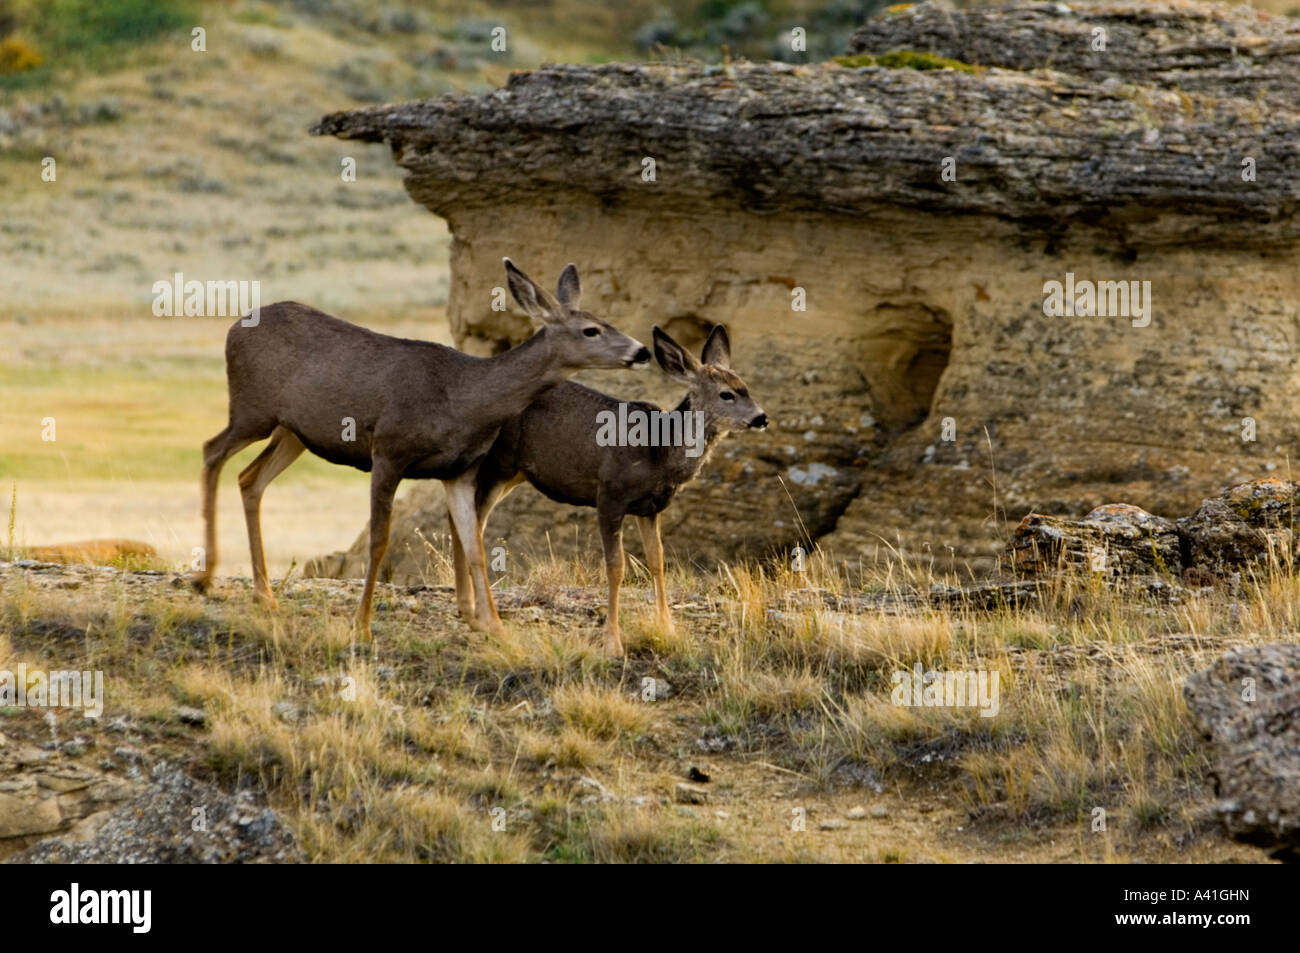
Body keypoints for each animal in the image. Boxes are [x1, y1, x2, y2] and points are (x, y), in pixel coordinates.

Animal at [188, 259, 650, 639]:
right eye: (591, 330)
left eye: (606, 319)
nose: (642, 349)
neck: (464, 398)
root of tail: (234, 326)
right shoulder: (388, 451)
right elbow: (379, 540)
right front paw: (362, 624)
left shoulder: (460, 470)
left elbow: (474, 544)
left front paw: (496, 626)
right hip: (252, 408)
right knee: (212, 451)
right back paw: (206, 576)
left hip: (293, 433)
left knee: (250, 478)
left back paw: (264, 594)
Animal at [457, 323, 767, 656]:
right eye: (727, 394)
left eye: (746, 386)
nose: (762, 417)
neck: (658, 451)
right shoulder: (609, 496)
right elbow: (616, 567)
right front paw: (613, 642)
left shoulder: (650, 508)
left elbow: (657, 560)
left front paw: (667, 627)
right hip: (496, 465)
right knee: (471, 521)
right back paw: (480, 615)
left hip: (513, 474)